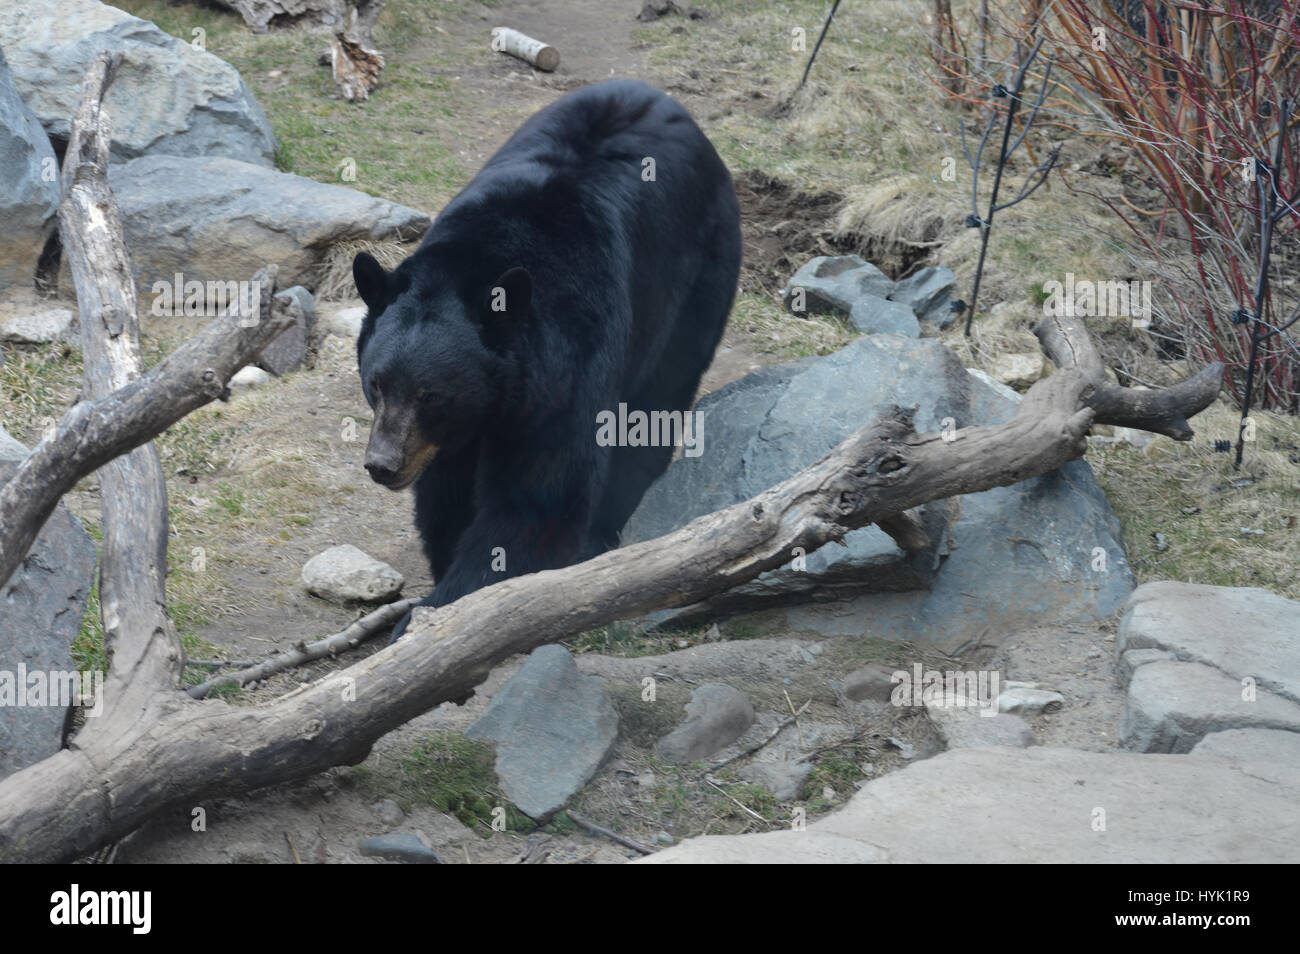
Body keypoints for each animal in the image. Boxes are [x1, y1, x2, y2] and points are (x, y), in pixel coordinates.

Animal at [353, 79, 742, 639]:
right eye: (377, 383)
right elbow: (447, 491)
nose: (382, 465)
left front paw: (442, 612)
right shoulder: (449, 435)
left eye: (431, 394)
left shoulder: (569, 361)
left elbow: (537, 499)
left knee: (656, 402)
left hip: (697, 278)